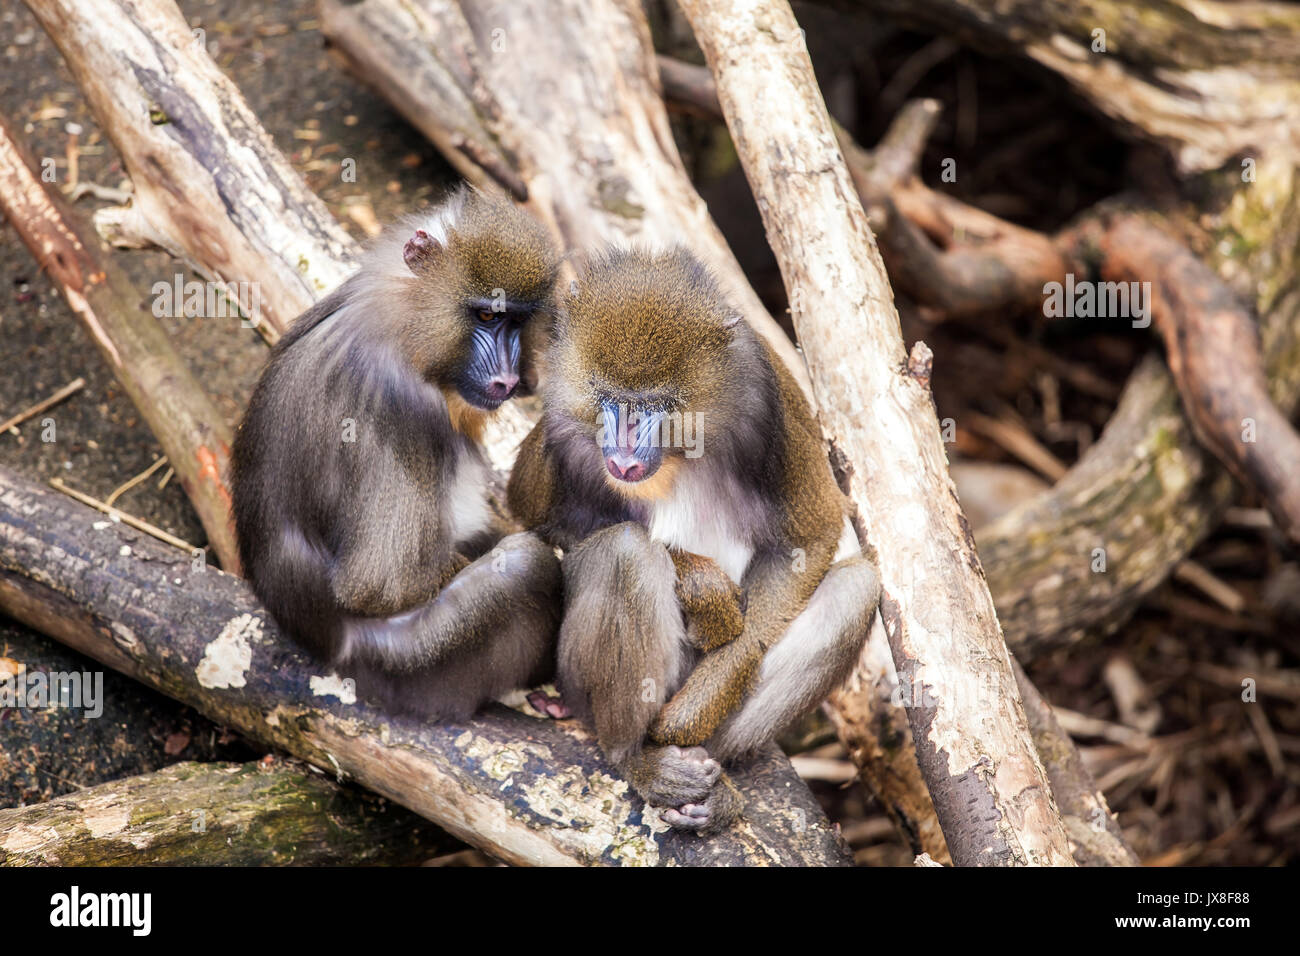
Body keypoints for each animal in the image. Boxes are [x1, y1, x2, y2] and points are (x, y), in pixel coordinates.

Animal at [231, 186, 565, 719]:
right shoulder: (402, 409)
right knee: (521, 566)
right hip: (414, 662)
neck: (404, 322)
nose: (508, 379)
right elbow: (380, 584)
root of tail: (331, 652)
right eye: (486, 315)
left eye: (516, 320)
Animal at [507, 247, 881, 832]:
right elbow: (533, 516)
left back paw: (706, 775)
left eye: (656, 404)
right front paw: (700, 583)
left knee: (857, 588)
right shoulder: (561, 427)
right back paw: (635, 758)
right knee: (624, 552)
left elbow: (811, 534)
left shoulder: (768, 401)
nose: (623, 458)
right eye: (609, 400)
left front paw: (693, 710)